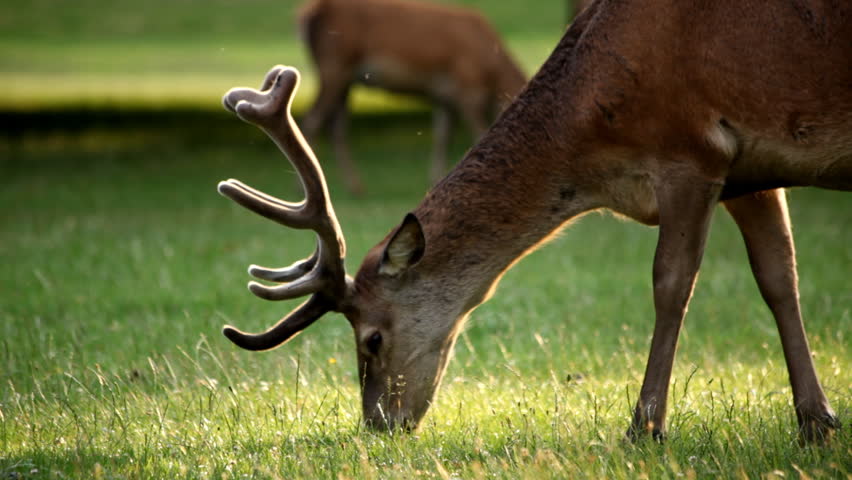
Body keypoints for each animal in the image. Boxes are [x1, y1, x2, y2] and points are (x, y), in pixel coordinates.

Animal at [296, 0, 527, 194]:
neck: (492, 71)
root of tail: (308, 14)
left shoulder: (444, 97)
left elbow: (442, 135)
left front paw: (435, 178)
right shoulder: (467, 87)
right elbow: (479, 134)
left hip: (344, 78)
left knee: (336, 127)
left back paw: (354, 186)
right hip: (334, 65)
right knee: (312, 120)